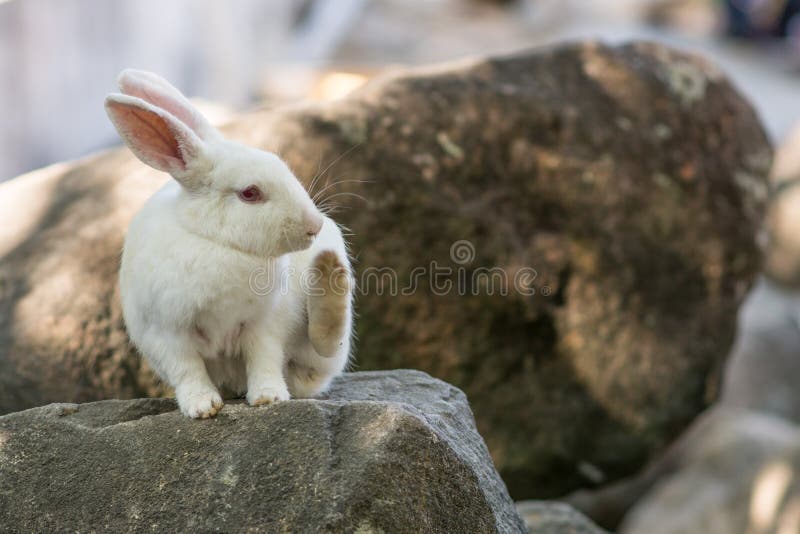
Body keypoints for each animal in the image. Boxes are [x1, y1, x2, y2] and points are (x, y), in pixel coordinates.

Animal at [105, 69, 353, 418]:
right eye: (250, 193)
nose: (313, 226)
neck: (217, 243)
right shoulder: (167, 333)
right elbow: (188, 370)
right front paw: (202, 407)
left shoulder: (264, 326)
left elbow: (264, 360)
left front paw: (269, 397)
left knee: (326, 346)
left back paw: (330, 274)